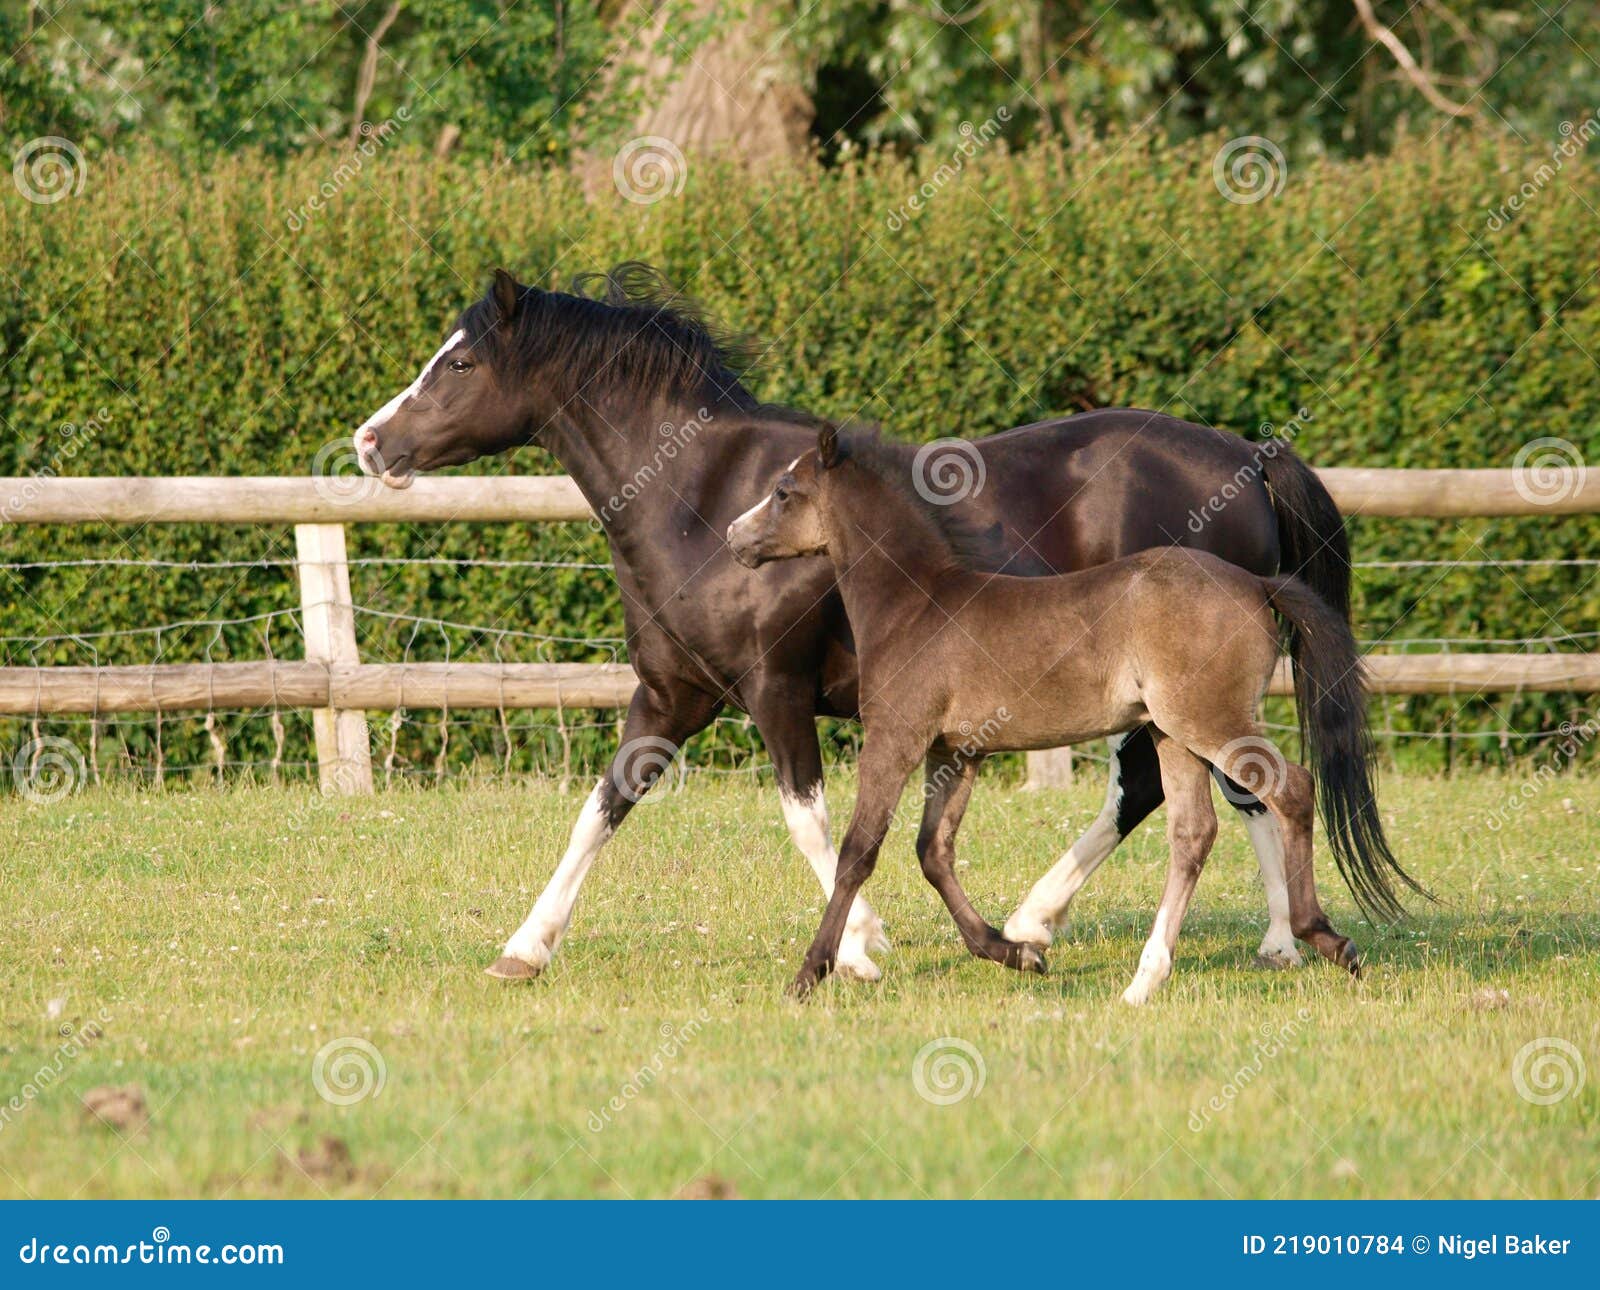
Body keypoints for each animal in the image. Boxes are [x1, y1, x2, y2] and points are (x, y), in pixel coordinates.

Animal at [350, 264, 1357, 983]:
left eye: (460, 363)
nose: (369, 443)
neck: (698, 500)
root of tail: (1246, 455)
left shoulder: (777, 692)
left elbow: (811, 822)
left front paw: (861, 948)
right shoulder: (672, 696)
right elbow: (602, 808)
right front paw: (524, 948)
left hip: (1165, 696)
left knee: (1179, 788)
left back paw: (1046, 924)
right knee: (1228, 789)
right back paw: (1264, 939)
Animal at [727, 426, 1417, 1001]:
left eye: (784, 492)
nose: (735, 538)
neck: (916, 605)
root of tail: (1257, 585)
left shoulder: (896, 739)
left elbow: (859, 851)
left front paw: (813, 971)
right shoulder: (958, 751)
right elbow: (934, 851)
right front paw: (1015, 954)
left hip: (1209, 721)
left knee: (1289, 789)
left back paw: (1322, 938)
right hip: (1172, 733)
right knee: (1194, 832)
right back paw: (1146, 979)